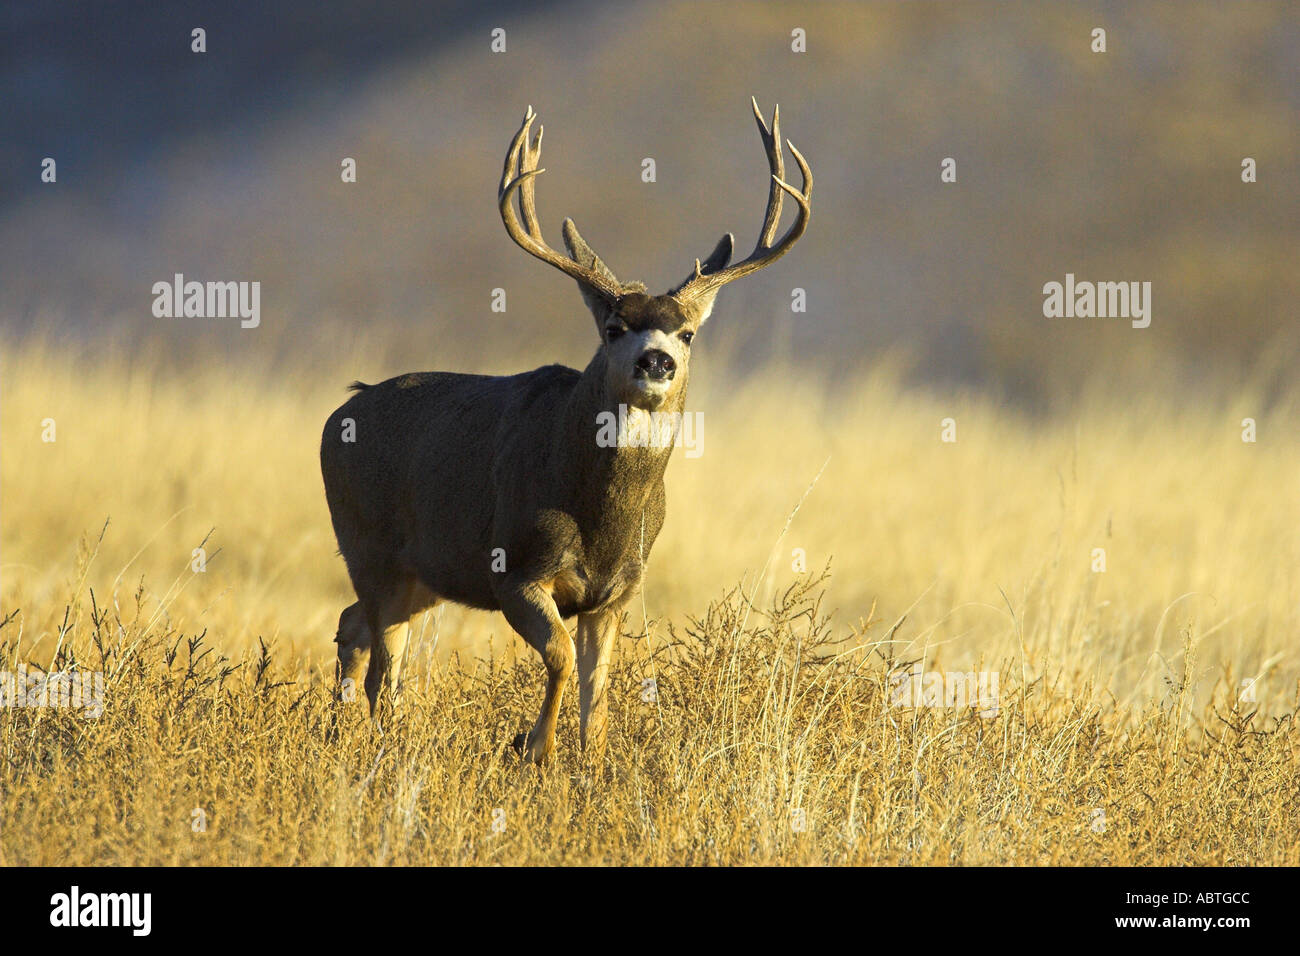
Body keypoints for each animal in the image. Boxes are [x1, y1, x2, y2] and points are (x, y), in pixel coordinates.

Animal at [320, 98, 811, 763]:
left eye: (687, 333)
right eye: (613, 327)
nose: (656, 361)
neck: (600, 518)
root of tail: (342, 409)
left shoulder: (618, 591)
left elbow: (597, 685)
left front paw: (592, 762)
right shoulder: (515, 569)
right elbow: (555, 657)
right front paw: (536, 749)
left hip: (425, 572)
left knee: (354, 628)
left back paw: (336, 732)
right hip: (369, 547)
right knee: (382, 663)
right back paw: (381, 744)